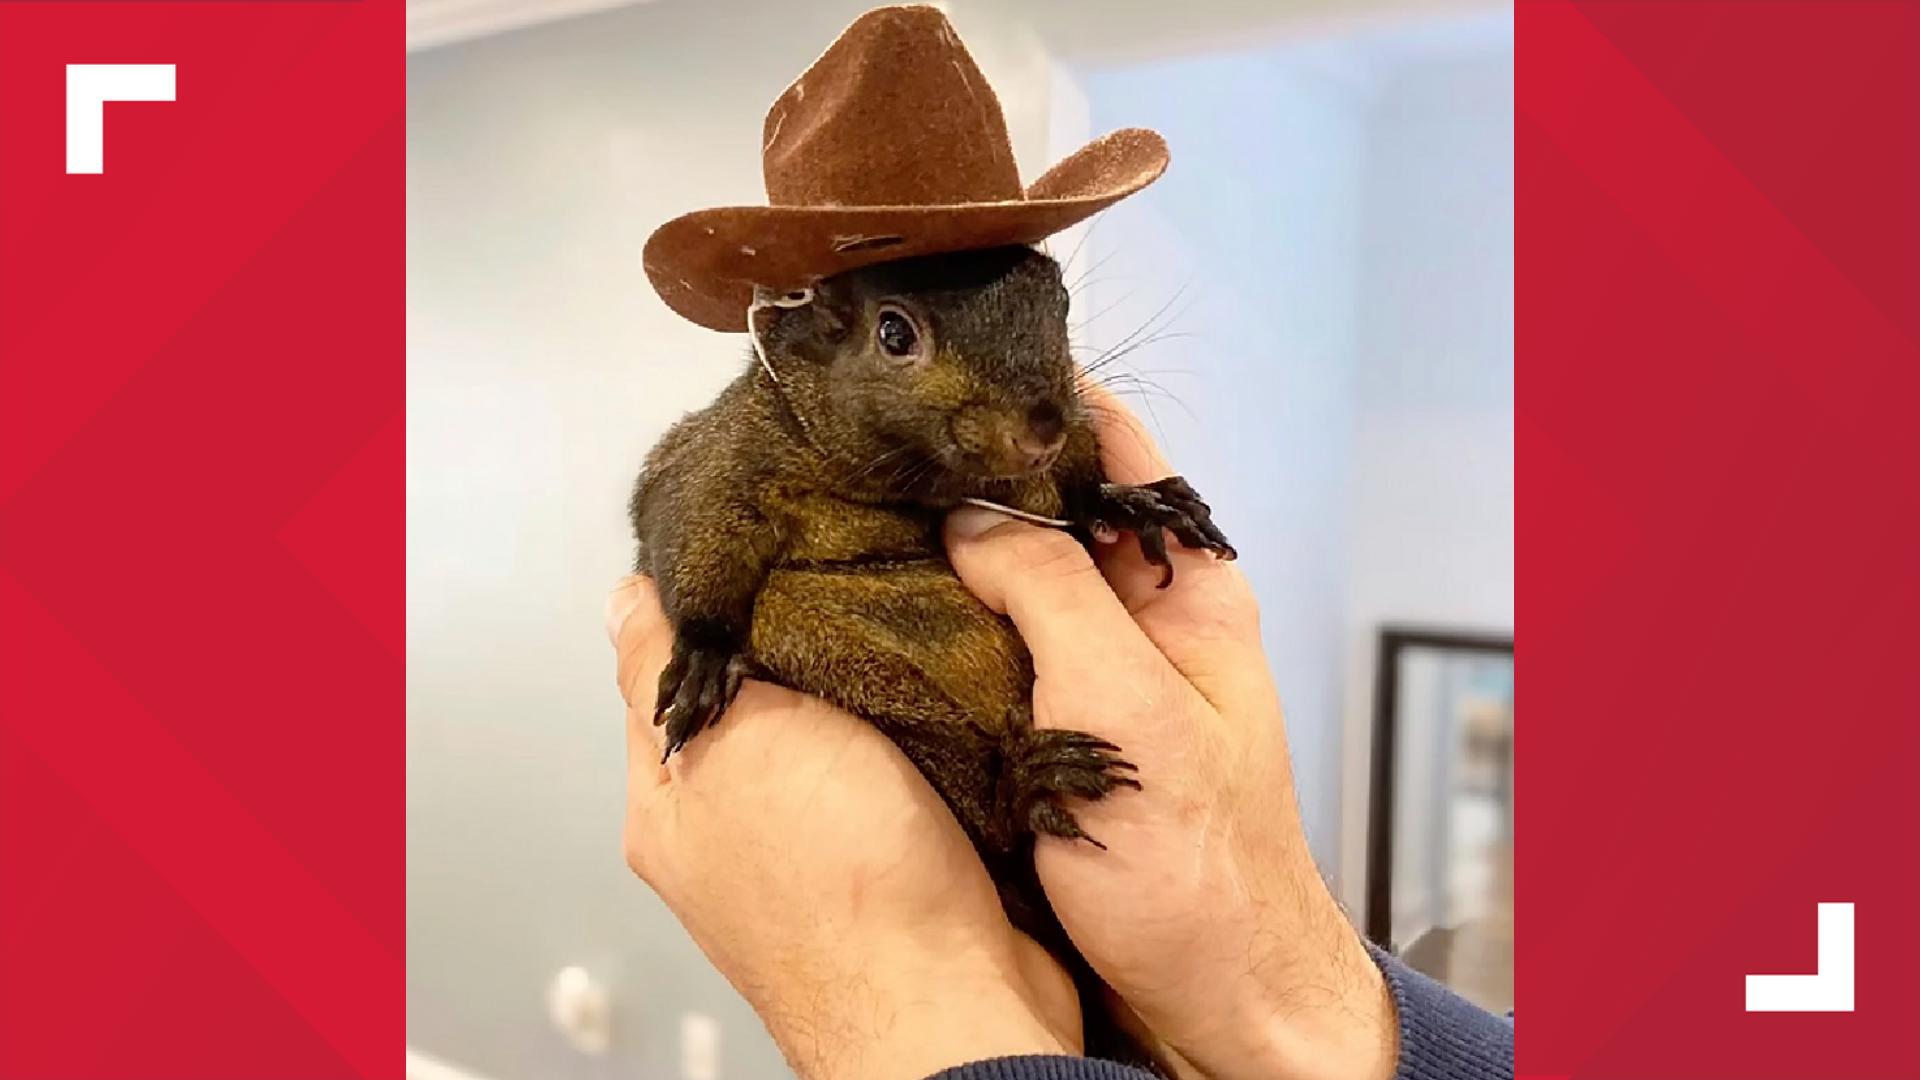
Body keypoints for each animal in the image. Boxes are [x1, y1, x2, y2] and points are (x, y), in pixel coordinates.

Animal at [629, 244, 1235, 1068]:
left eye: (1060, 301)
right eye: (893, 333)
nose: (1042, 427)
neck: (919, 486)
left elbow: (1080, 487)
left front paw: (1135, 502)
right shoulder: (715, 462)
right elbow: (691, 530)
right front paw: (704, 653)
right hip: (862, 682)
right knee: (993, 822)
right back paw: (1025, 786)